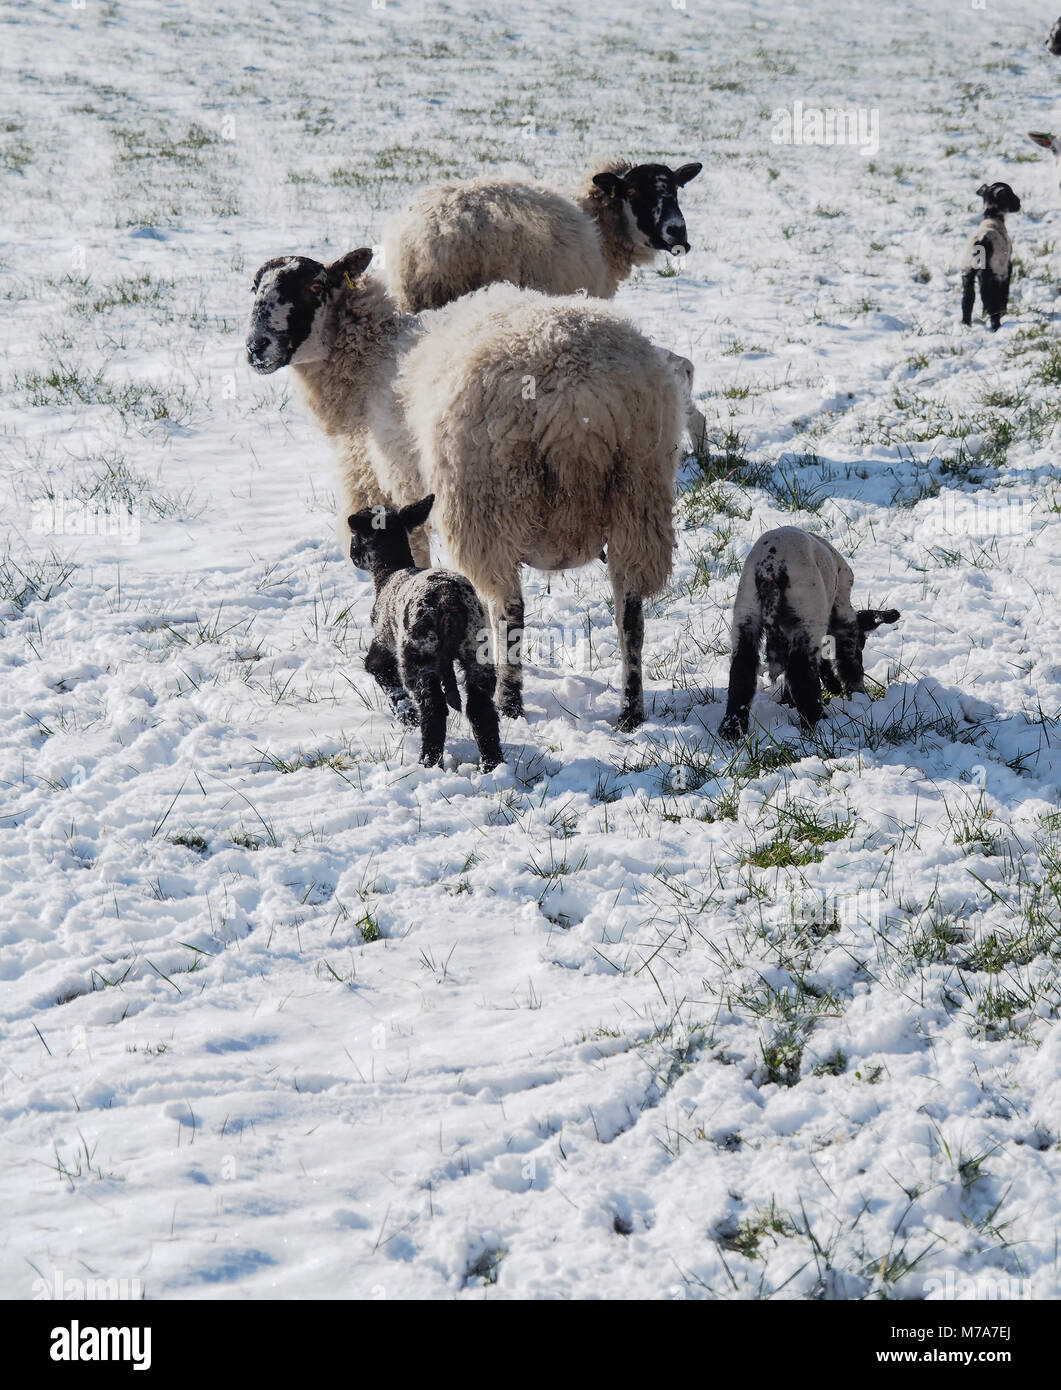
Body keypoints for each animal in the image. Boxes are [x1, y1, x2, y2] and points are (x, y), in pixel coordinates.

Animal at [246, 251, 684, 730]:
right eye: (255, 289)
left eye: (312, 287)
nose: (255, 349)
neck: (371, 363)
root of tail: (578, 398)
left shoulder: (400, 494)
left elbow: (411, 568)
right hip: (639, 495)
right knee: (631, 615)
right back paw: (630, 710)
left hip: (488, 503)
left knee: (509, 611)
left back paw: (509, 703)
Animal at [347, 494, 503, 771]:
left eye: (355, 536)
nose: (352, 556)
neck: (390, 571)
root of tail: (448, 598)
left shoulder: (382, 651)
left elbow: (391, 686)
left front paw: (408, 719)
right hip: (476, 649)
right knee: (480, 708)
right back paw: (492, 764)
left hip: (419, 652)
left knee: (434, 708)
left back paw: (428, 761)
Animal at [718, 527, 900, 739]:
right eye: (862, 643)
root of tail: (771, 565)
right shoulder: (841, 612)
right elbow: (849, 660)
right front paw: (856, 695)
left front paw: (788, 701)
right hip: (807, 611)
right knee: (801, 672)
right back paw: (817, 724)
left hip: (746, 611)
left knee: (742, 669)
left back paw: (731, 729)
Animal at [960, 182, 1020, 332]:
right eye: (1010, 194)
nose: (1019, 204)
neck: (992, 217)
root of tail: (980, 242)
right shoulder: (1005, 268)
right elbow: (1003, 292)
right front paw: (1003, 312)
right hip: (991, 271)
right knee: (991, 299)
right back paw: (996, 326)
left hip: (968, 271)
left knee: (968, 298)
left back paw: (966, 324)